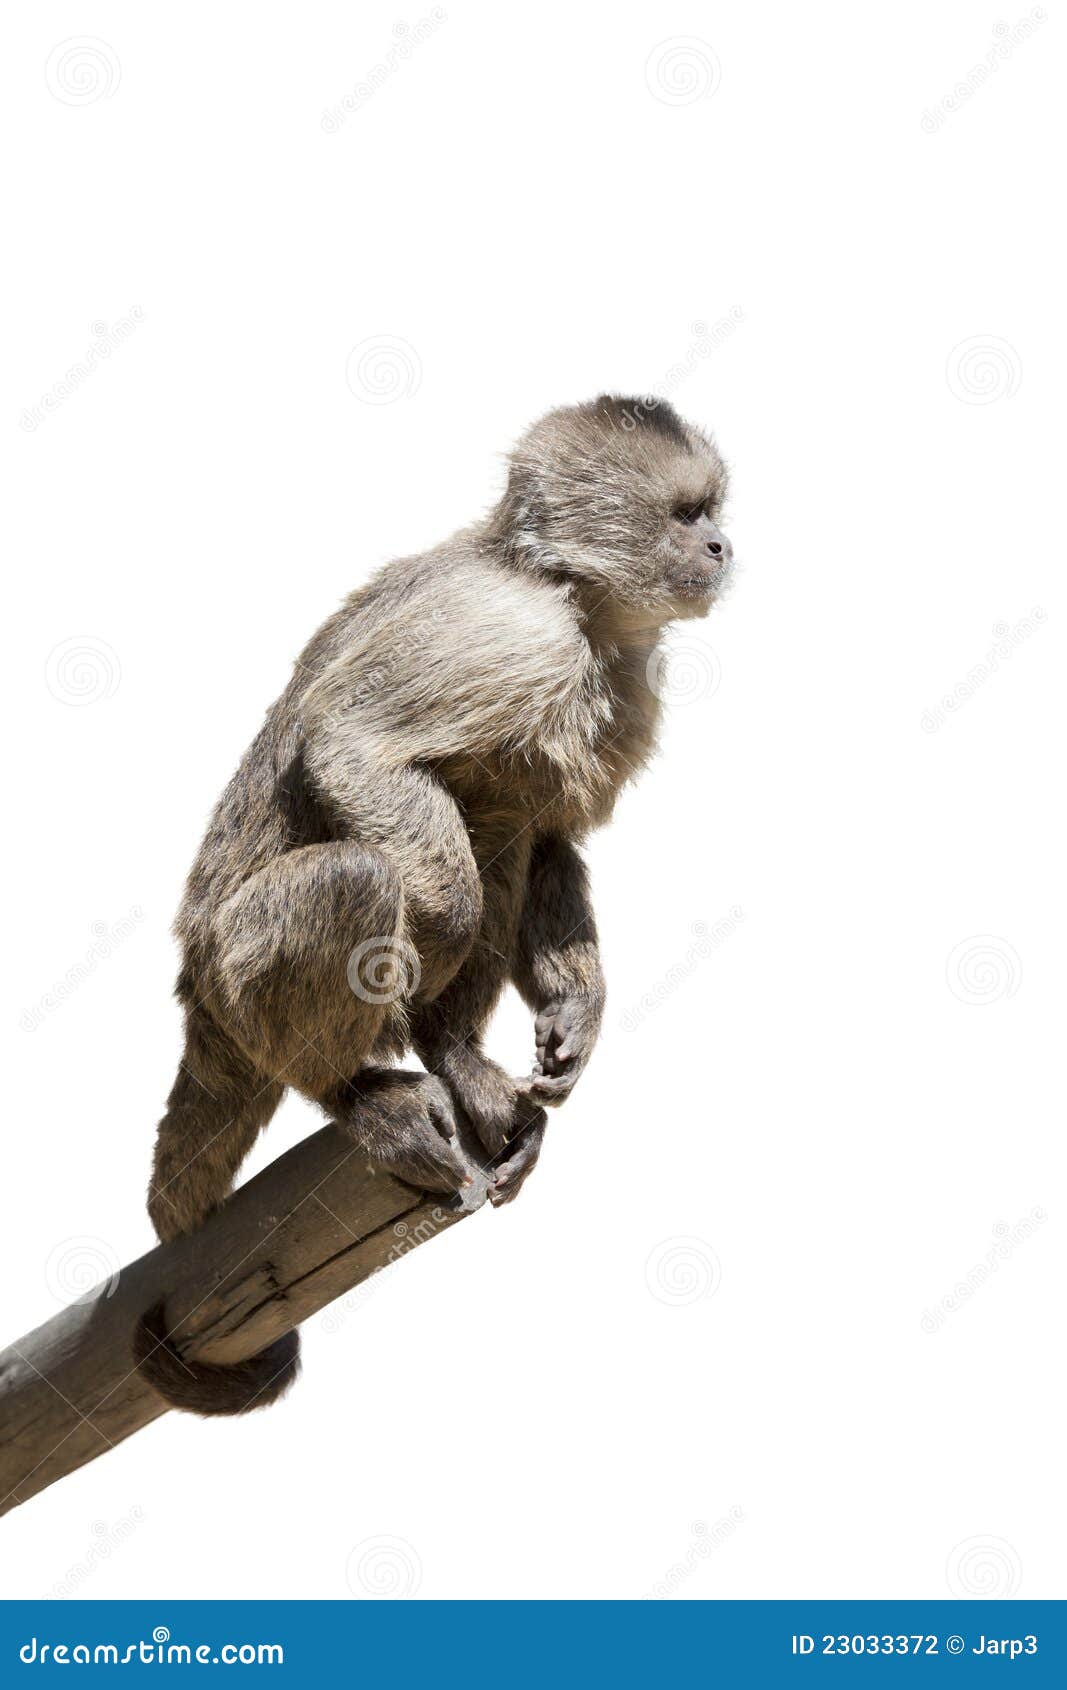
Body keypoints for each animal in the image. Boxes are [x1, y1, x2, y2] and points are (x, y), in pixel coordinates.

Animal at [133, 394, 733, 1415]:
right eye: (686, 515)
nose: (724, 546)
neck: (569, 594)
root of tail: (196, 1002)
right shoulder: (509, 628)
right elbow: (352, 746)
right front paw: (431, 956)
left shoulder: (623, 679)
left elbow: (550, 839)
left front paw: (575, 1009)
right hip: (232, 978)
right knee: (368, 874)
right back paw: (356, 1089)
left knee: (501, 828)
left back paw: (450, 1051)